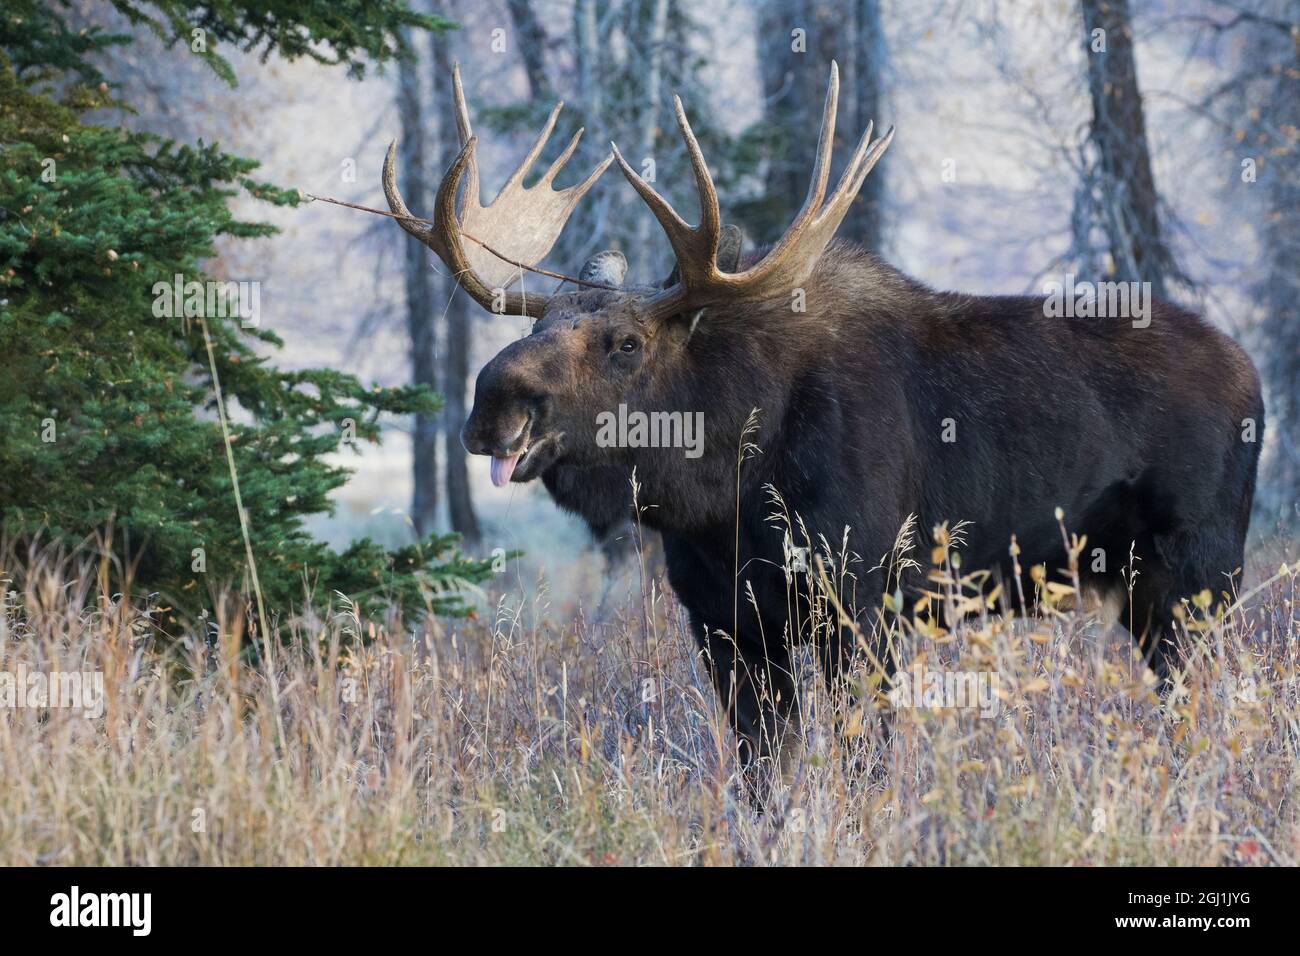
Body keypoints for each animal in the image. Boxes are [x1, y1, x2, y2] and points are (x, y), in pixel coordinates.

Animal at [382, 64, 1264, 781]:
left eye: (626, 342)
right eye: (539, 326)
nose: (491, 405)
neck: (724, 492)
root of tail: (1252, 376)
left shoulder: (862, 603)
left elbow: (860, 762)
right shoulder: (725, 623)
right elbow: (761, 772)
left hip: (1199, 577)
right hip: (1144, 594)